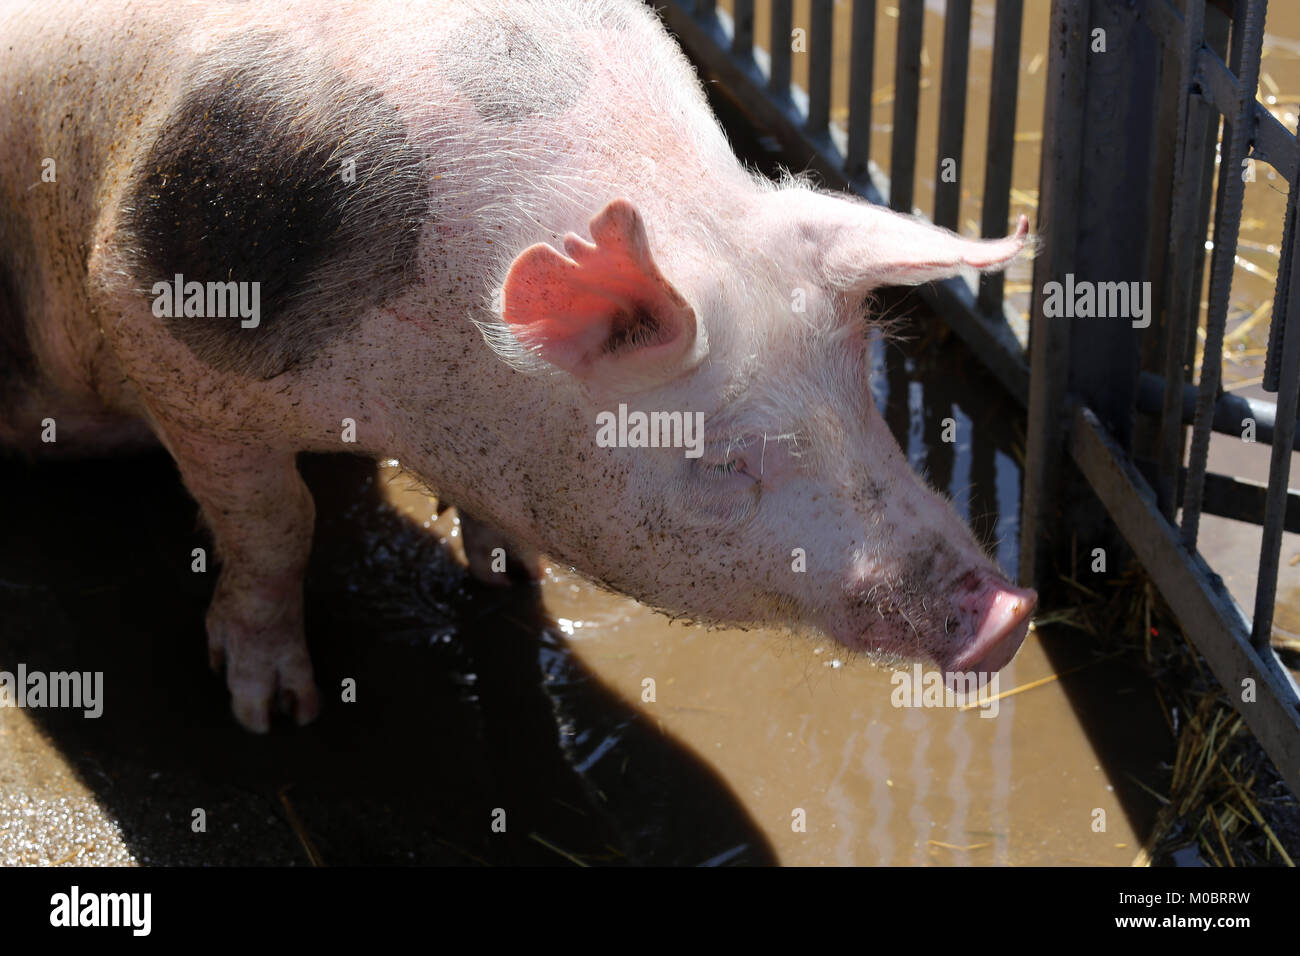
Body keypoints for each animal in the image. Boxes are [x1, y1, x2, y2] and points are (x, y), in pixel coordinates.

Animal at [0, 0, 1035, 732]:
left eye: (860, 393)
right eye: (719, 461)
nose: (1006, 612)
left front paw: (515, 581)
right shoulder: (154, 329)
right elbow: (276, 528)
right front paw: (273, 714)